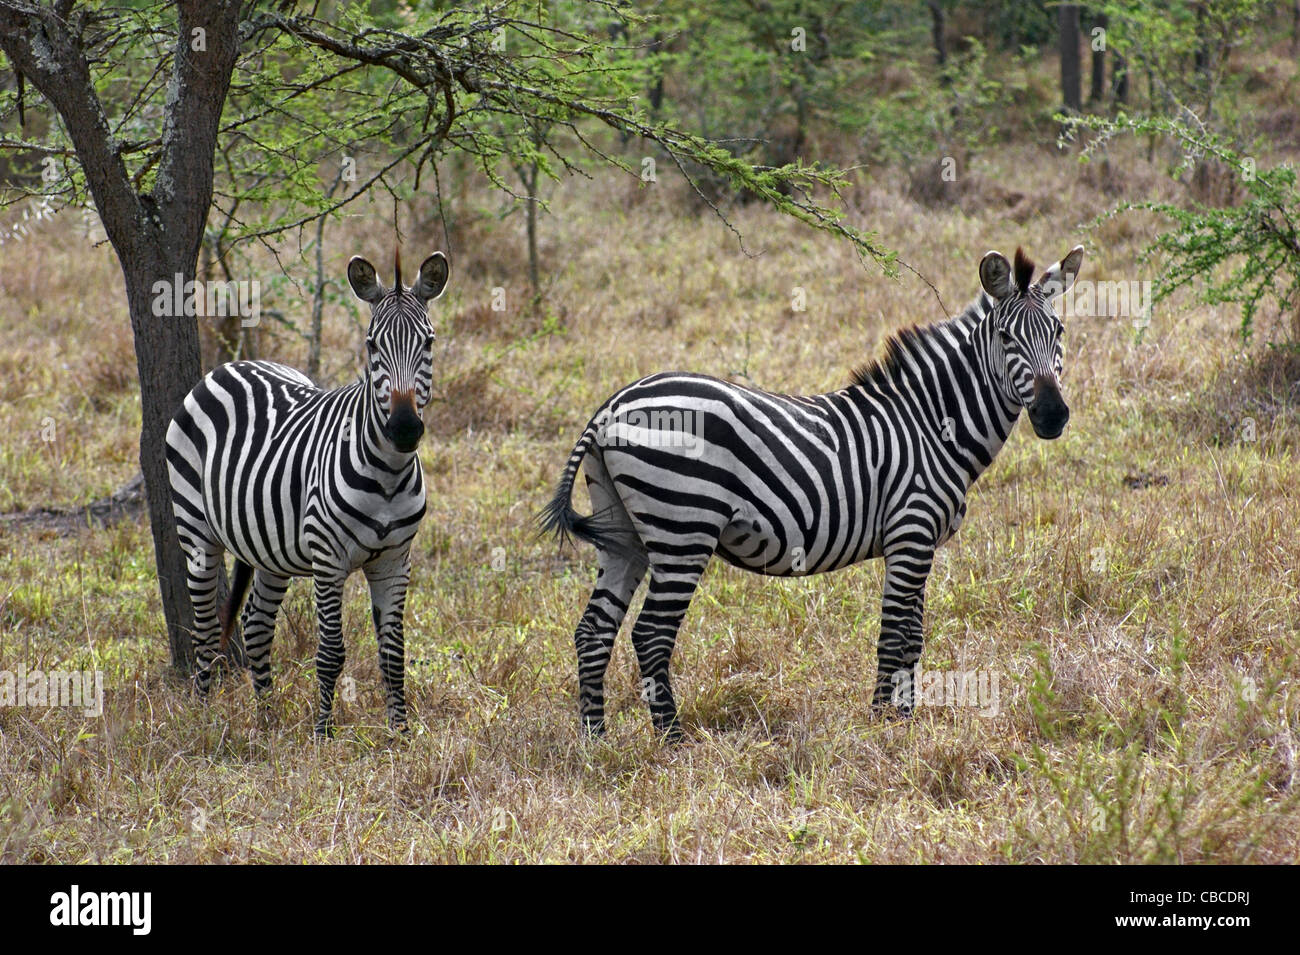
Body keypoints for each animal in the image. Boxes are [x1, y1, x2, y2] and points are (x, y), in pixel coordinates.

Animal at [165, 251, 449, 736]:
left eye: (428, 342)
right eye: (372, 346)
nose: (404, 429)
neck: (388, 476)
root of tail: (228, 367)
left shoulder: (396, 561)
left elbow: (394, 654)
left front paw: (401, 734)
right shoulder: (328, 560)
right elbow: (331, 652)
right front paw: (323, 734)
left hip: (267, 547)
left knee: (257, 624)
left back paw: (266, 720)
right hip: (195, 529)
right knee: (204, 630)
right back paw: (201, 716)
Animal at [540, 245, 1083, 741]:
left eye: (1058, 334)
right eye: (1005, 337)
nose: (1053, 416)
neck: (931, 424)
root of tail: (611, 406)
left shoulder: (920, 542)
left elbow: (913, 637)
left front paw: (903, 720)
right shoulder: (911, 531)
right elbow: (895, 635)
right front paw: (882, 725)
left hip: (624, 530)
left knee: (593, 630)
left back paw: (595, 740)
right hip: (683, 527)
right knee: (651, 632)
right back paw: (672, 740)